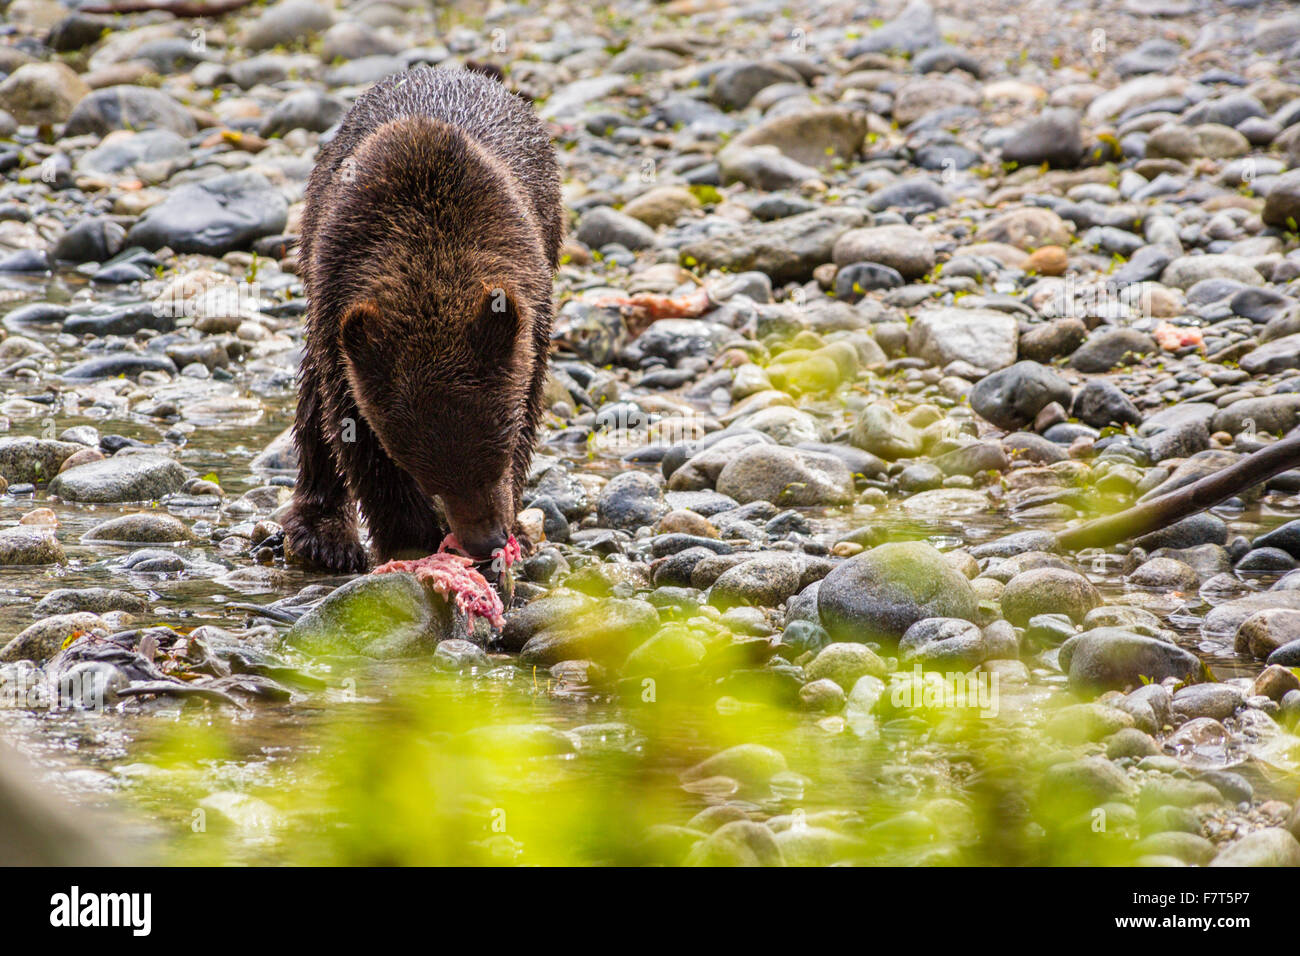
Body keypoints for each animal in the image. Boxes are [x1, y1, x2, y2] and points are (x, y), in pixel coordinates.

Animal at [282, 67, 563, 572]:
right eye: (430, 477)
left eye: (496, 458)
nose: (487, 541)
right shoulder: (341, 312)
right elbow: (356, 434)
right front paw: (410, 538)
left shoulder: (531, 312)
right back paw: (322, 534)